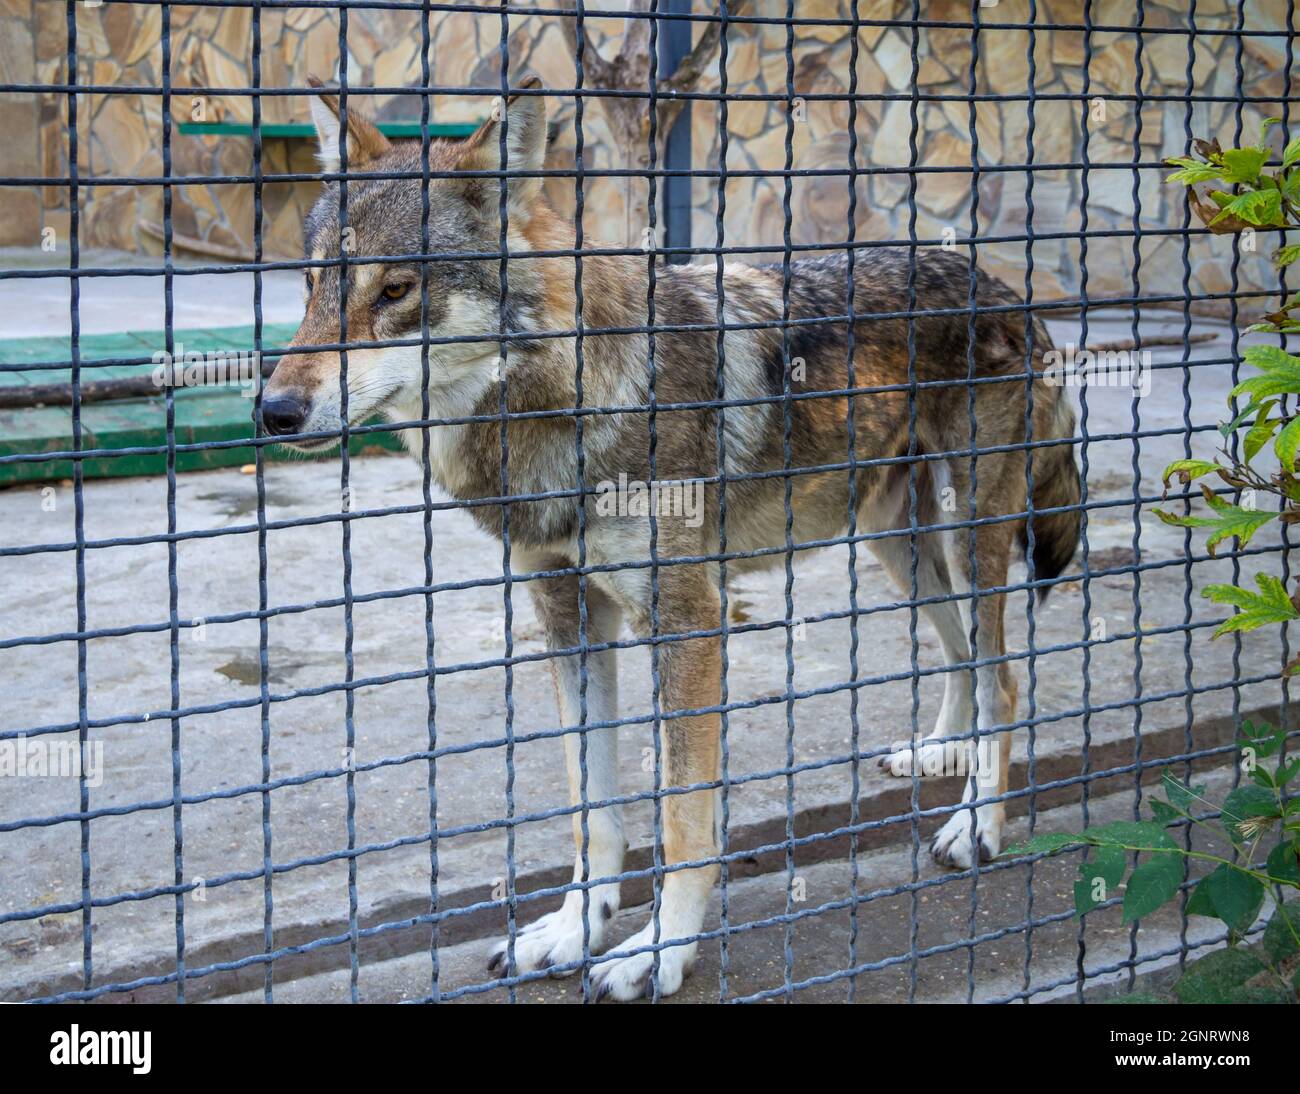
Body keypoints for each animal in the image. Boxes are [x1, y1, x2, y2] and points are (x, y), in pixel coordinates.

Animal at [263, 75, 1082, 1001]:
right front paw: (571, 931)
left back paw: (976, 827)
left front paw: (657, 953)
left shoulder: (687, 623)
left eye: (396, 291)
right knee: (961, 656)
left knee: (1004, 679)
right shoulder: (567, 615)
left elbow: (685, 820)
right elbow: (593, 811)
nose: (272, 410)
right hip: (895, 544)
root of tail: (1005, 286)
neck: (563, 402)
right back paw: (941, 753)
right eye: (309, 288)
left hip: (971, 538)